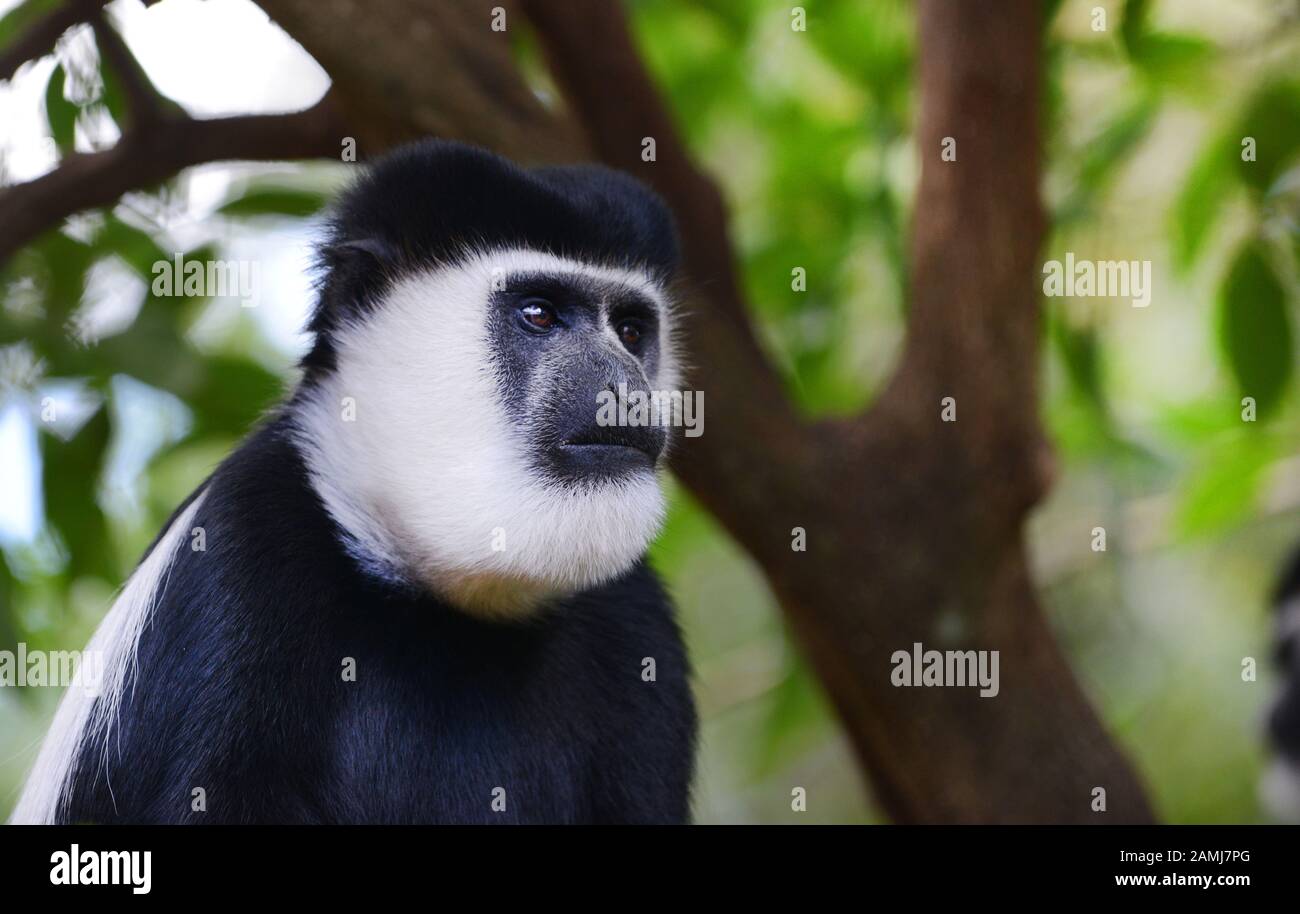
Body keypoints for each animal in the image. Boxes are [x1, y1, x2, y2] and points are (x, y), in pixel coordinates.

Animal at [11, 140, 697, 824]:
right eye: (539, 315)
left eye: (631, 331)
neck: (457, 594)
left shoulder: (636, 620)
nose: (623, 385)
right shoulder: (240, 550)